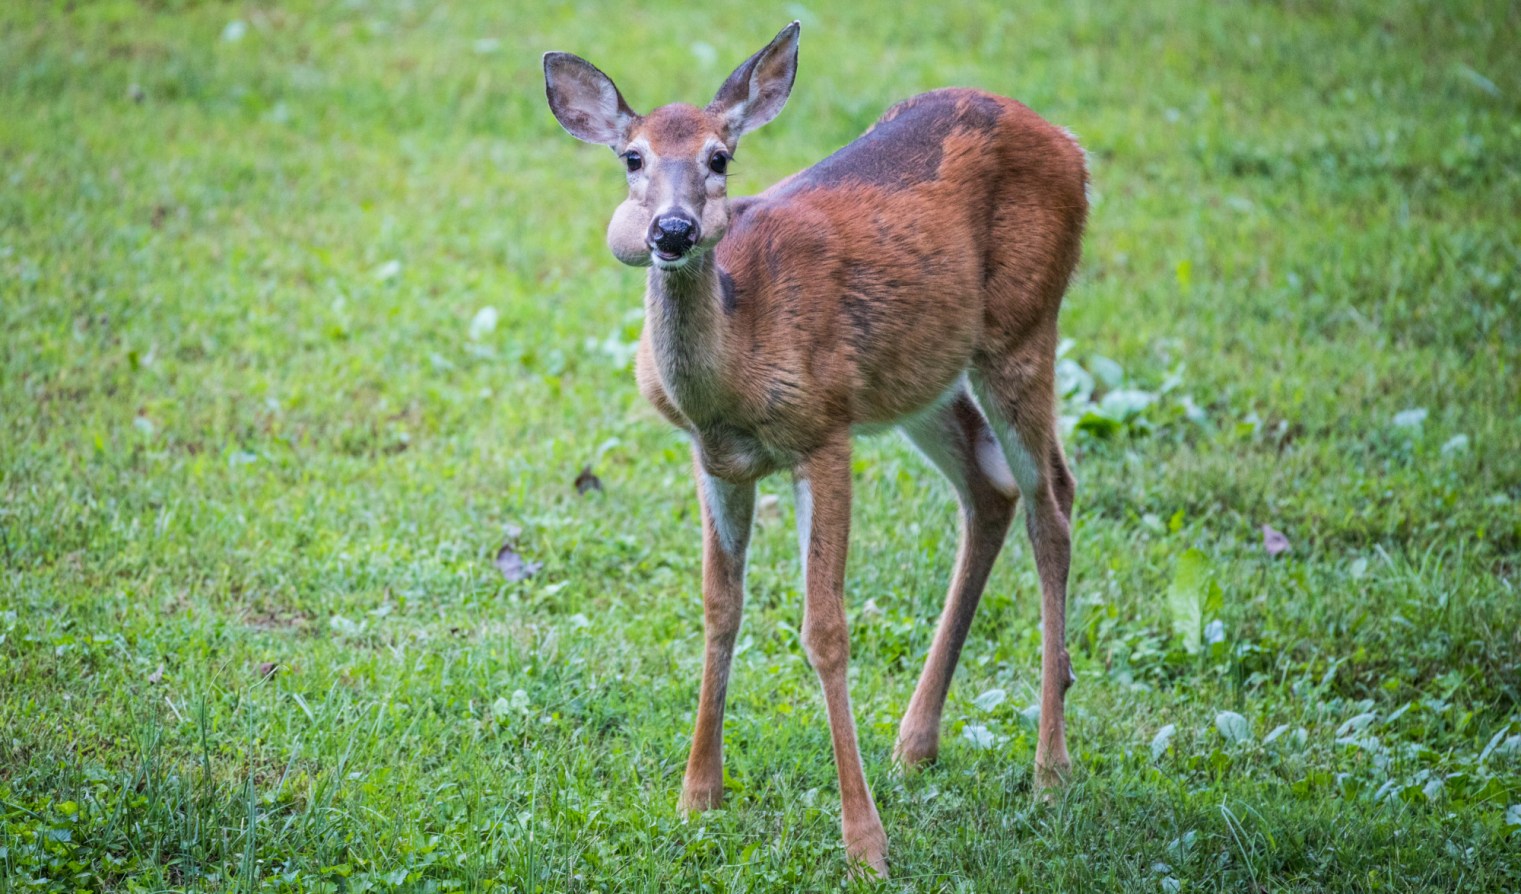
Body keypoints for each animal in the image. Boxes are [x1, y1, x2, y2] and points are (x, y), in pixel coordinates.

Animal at [543, 21, 1086, 878]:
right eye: (630, 156)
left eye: (719, 156)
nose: (672, 231)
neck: (735, 363)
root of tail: (1070, 143)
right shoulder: (714, 460)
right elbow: (719, 606)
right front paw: (698, 794)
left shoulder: (824, 433)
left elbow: (825, 630)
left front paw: (865, 843)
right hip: (918, 376)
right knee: (988, 488)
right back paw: (914, 741)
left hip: (1021, 330)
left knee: (1052, 501)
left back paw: (1050, 768)